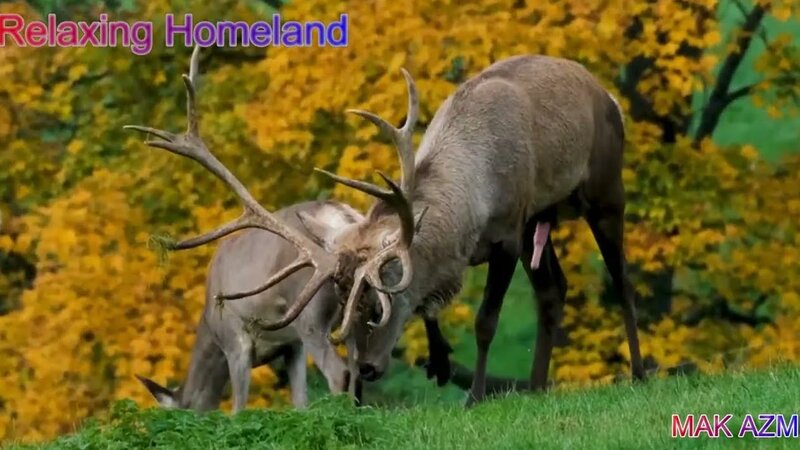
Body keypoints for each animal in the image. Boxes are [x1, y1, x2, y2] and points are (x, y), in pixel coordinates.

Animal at [126, 47, 453, 412]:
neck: (209, 327)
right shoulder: (290, 347)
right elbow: (299, 401)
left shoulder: (236, 338)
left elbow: (238, 408)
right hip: (357, 308)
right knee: (357, 369)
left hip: (310, 313)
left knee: (340, 372)